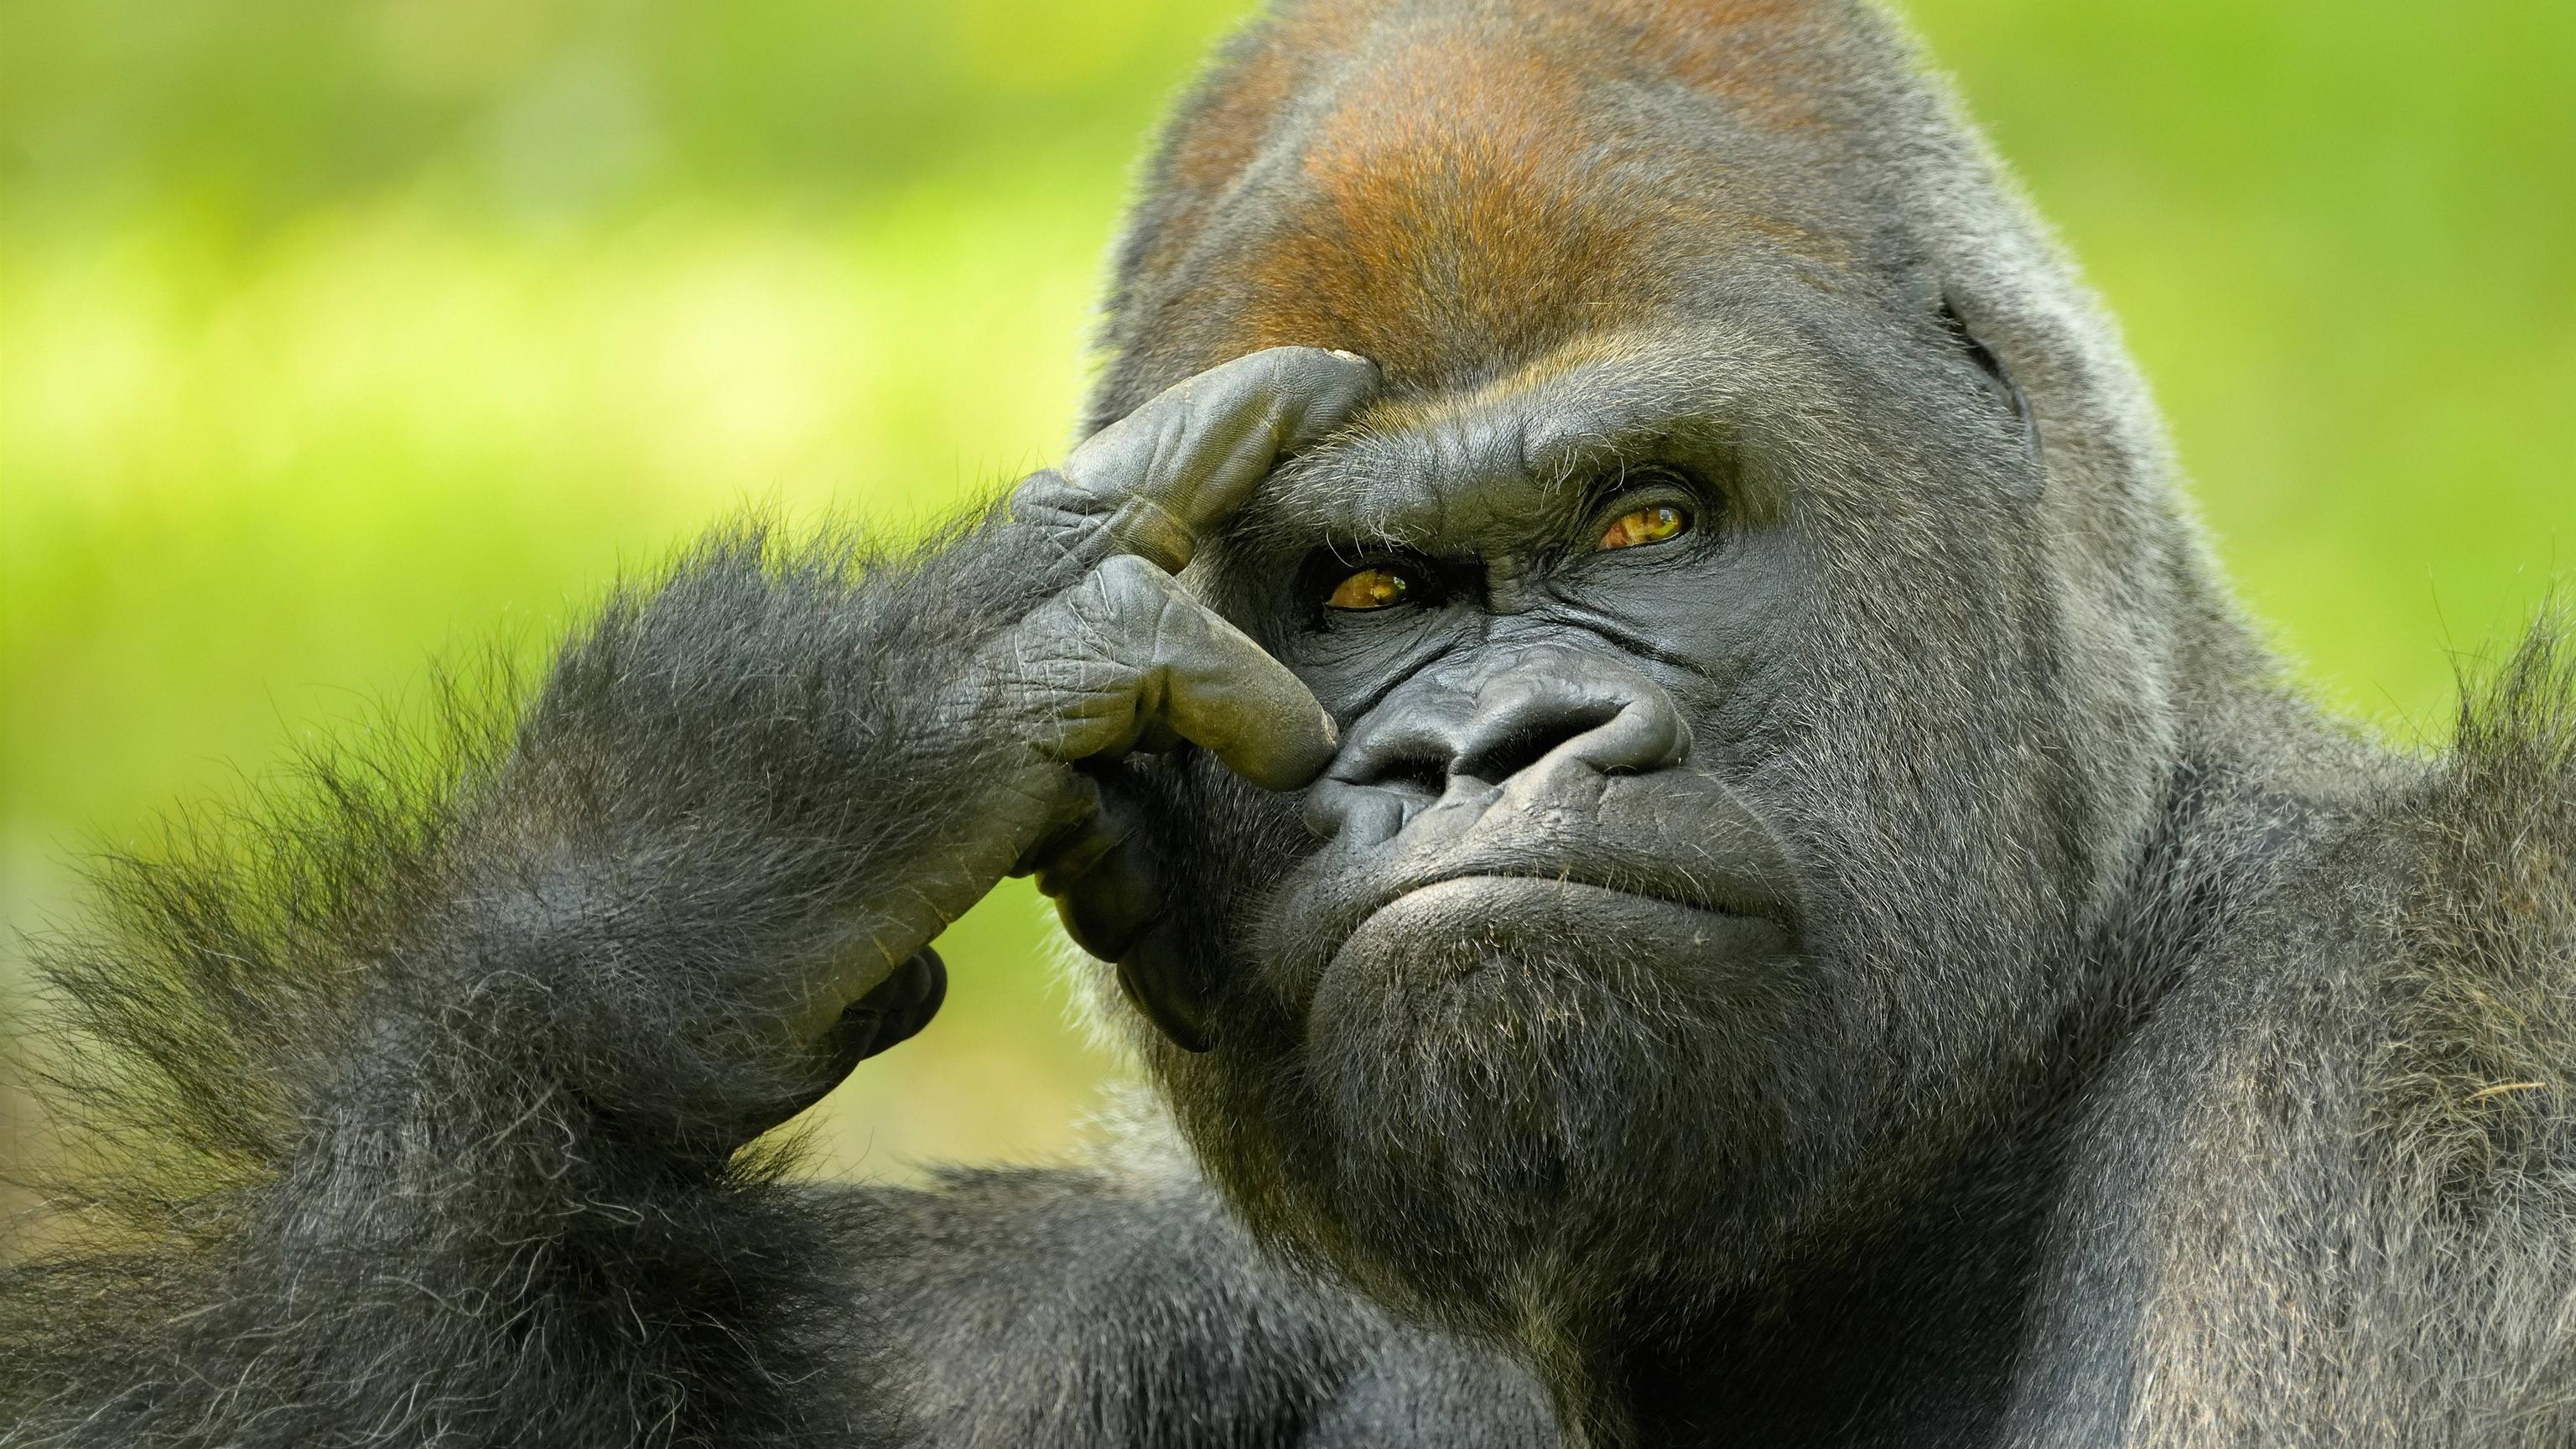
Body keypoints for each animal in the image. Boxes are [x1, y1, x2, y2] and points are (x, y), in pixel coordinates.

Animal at [5, 1, 2571, 1446]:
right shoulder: (1057, 1324)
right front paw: (678, 865)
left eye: (1649, 520)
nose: (1482, 749)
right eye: (1358, 595)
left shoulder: (2430, 1031)